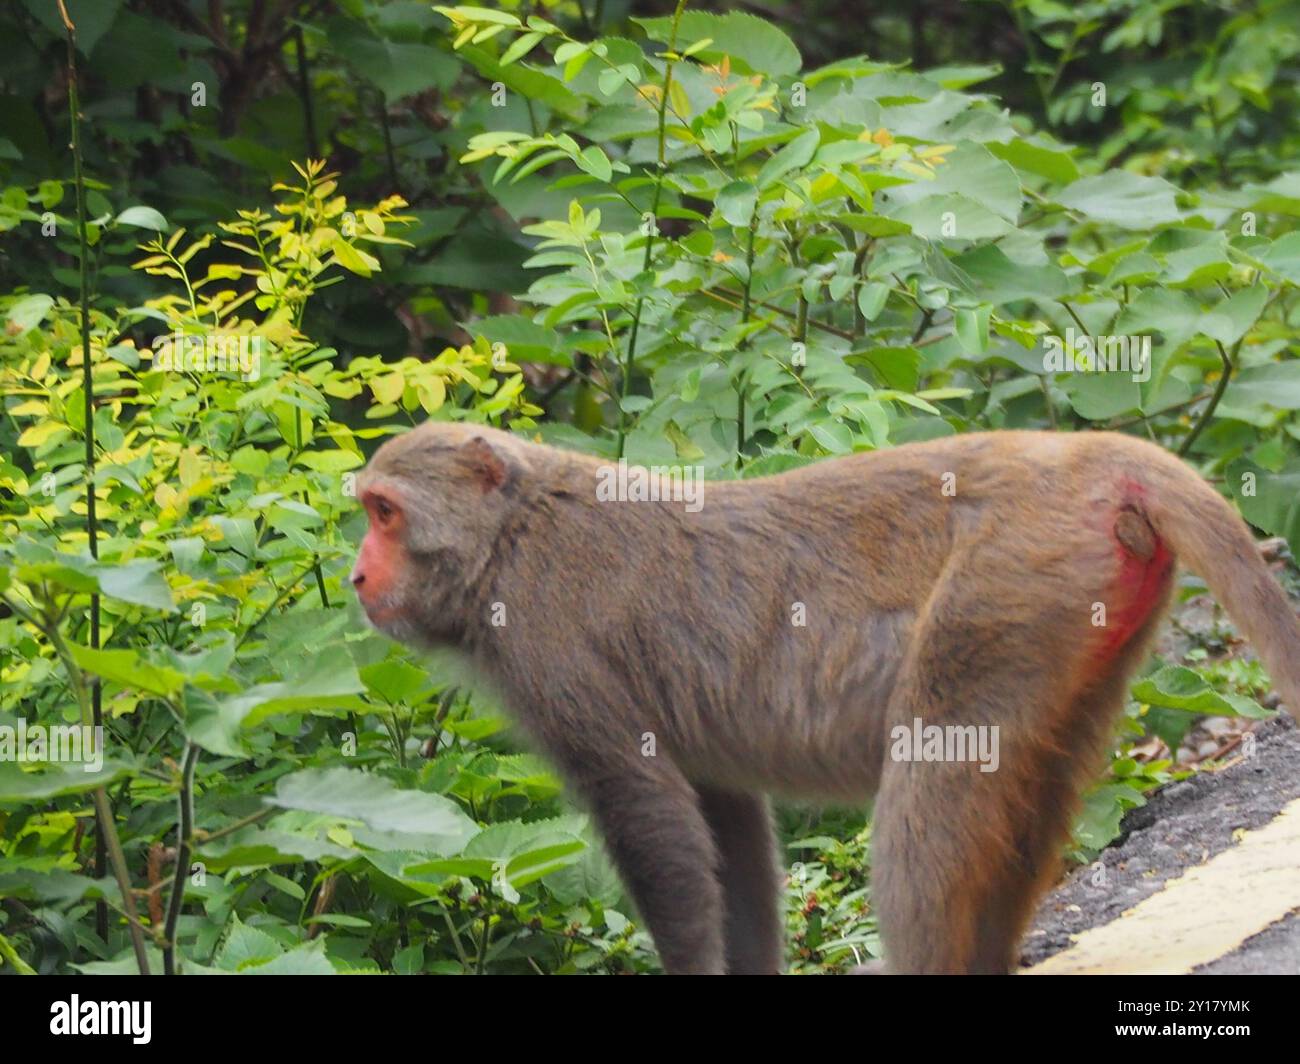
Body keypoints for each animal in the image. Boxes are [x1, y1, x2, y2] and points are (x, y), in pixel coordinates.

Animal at [349, 421, 1300, 974]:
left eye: (385, 513)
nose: (356, 575)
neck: (509, 540)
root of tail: (1090, 454)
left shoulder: (549, 647)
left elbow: (650, 822)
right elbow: (728, 830)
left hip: (1007, 584)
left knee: (932, 791)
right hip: (1074, 619)